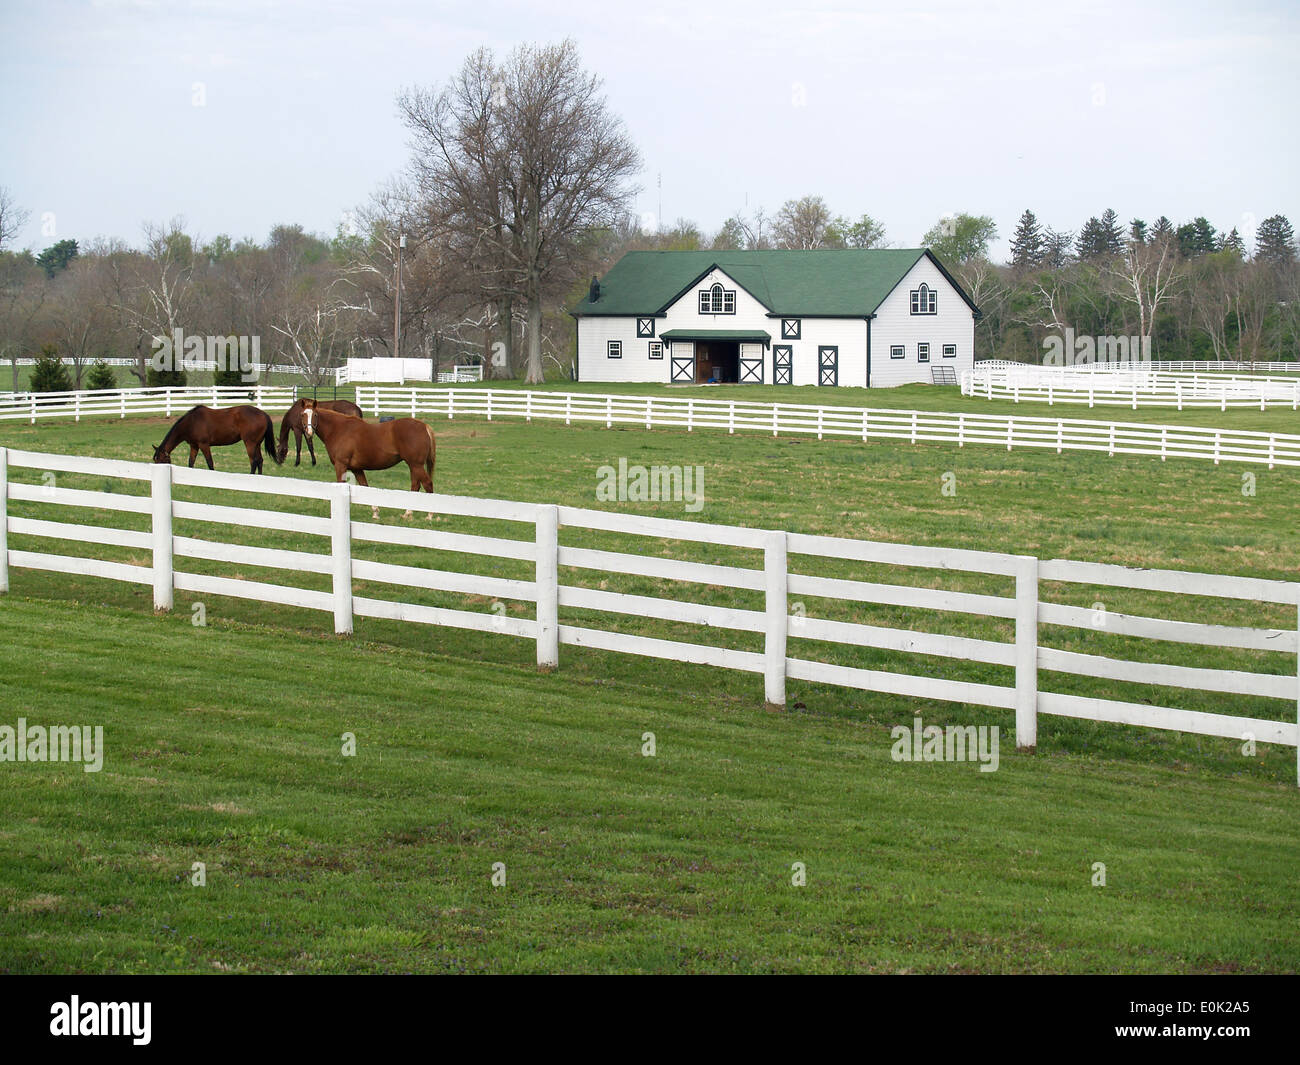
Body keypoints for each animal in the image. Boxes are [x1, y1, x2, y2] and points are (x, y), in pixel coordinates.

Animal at [152, 404, 282, 474]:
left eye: (161, 460)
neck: (192, 422)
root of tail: (263, 414)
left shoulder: (204, 445)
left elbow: (210, 463)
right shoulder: (194, 446)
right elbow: (191, 462)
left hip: (250, 443)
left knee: (253, 461)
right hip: (257, 444)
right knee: (259, 460)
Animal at [299, 399, 435, 519]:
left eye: (315, 415)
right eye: (302, 415)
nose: (309, 432)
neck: (338, 429)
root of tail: (424, 426)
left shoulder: (340, 465)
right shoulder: (357, 469)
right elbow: (365, 487)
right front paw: (375, 512)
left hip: (416, 465)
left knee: (427, 484)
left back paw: (429, 515)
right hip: (413, 466)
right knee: (415, 485)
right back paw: (408, 513)